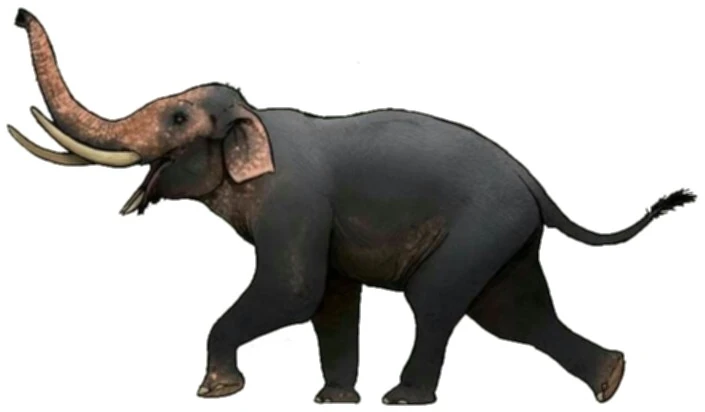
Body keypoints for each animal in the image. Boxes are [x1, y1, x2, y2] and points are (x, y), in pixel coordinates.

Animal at [7, 8, 697, 406]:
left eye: (177, 118)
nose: (17, 14)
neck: (255, 116)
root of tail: (536, 184)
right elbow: (331, 299)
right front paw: (333, 400)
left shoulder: (293, 202)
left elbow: (294, 291)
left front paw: (215, 391)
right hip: (508, 238)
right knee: (514, 313)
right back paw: (612, 381)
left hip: (482, 227)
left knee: (440, 301)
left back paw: (406, 397)